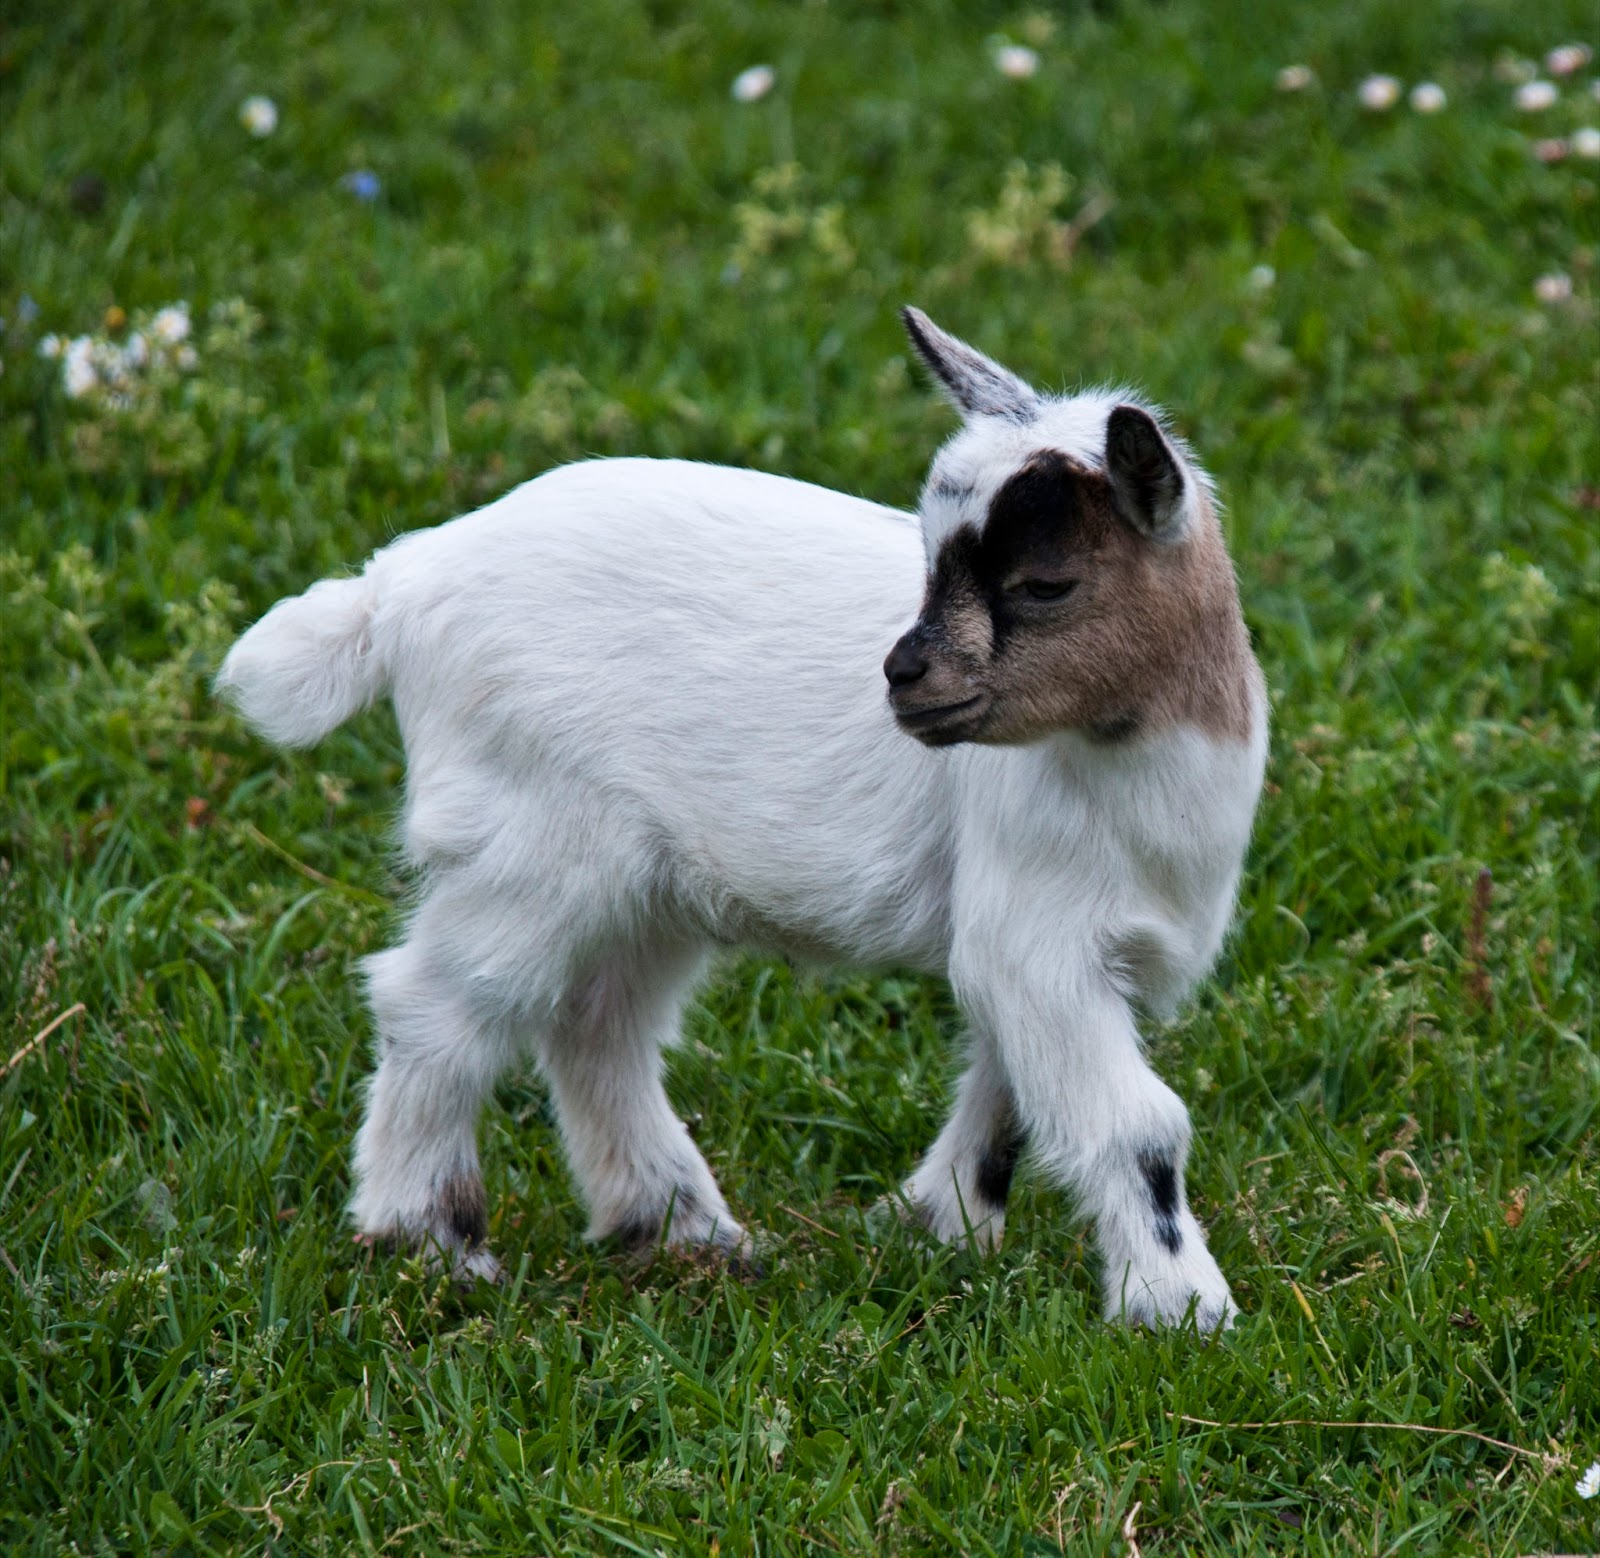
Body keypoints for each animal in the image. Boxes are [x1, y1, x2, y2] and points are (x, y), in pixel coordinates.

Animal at [217, 309, 1267, 1328]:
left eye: (1045, 584)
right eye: (928, 561)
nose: (903, 676)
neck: (1139, 752)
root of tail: (402, 582)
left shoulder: (1057, 944)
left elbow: (1004, 1095)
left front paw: (937, 1226)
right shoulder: (1036, 931)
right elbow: (1137, 1124)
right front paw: (1180, 1306)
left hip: (646, 883)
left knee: (597, 1025)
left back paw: (677, 1228)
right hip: (526, 847)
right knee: (434, 1005)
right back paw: (429, 1242)